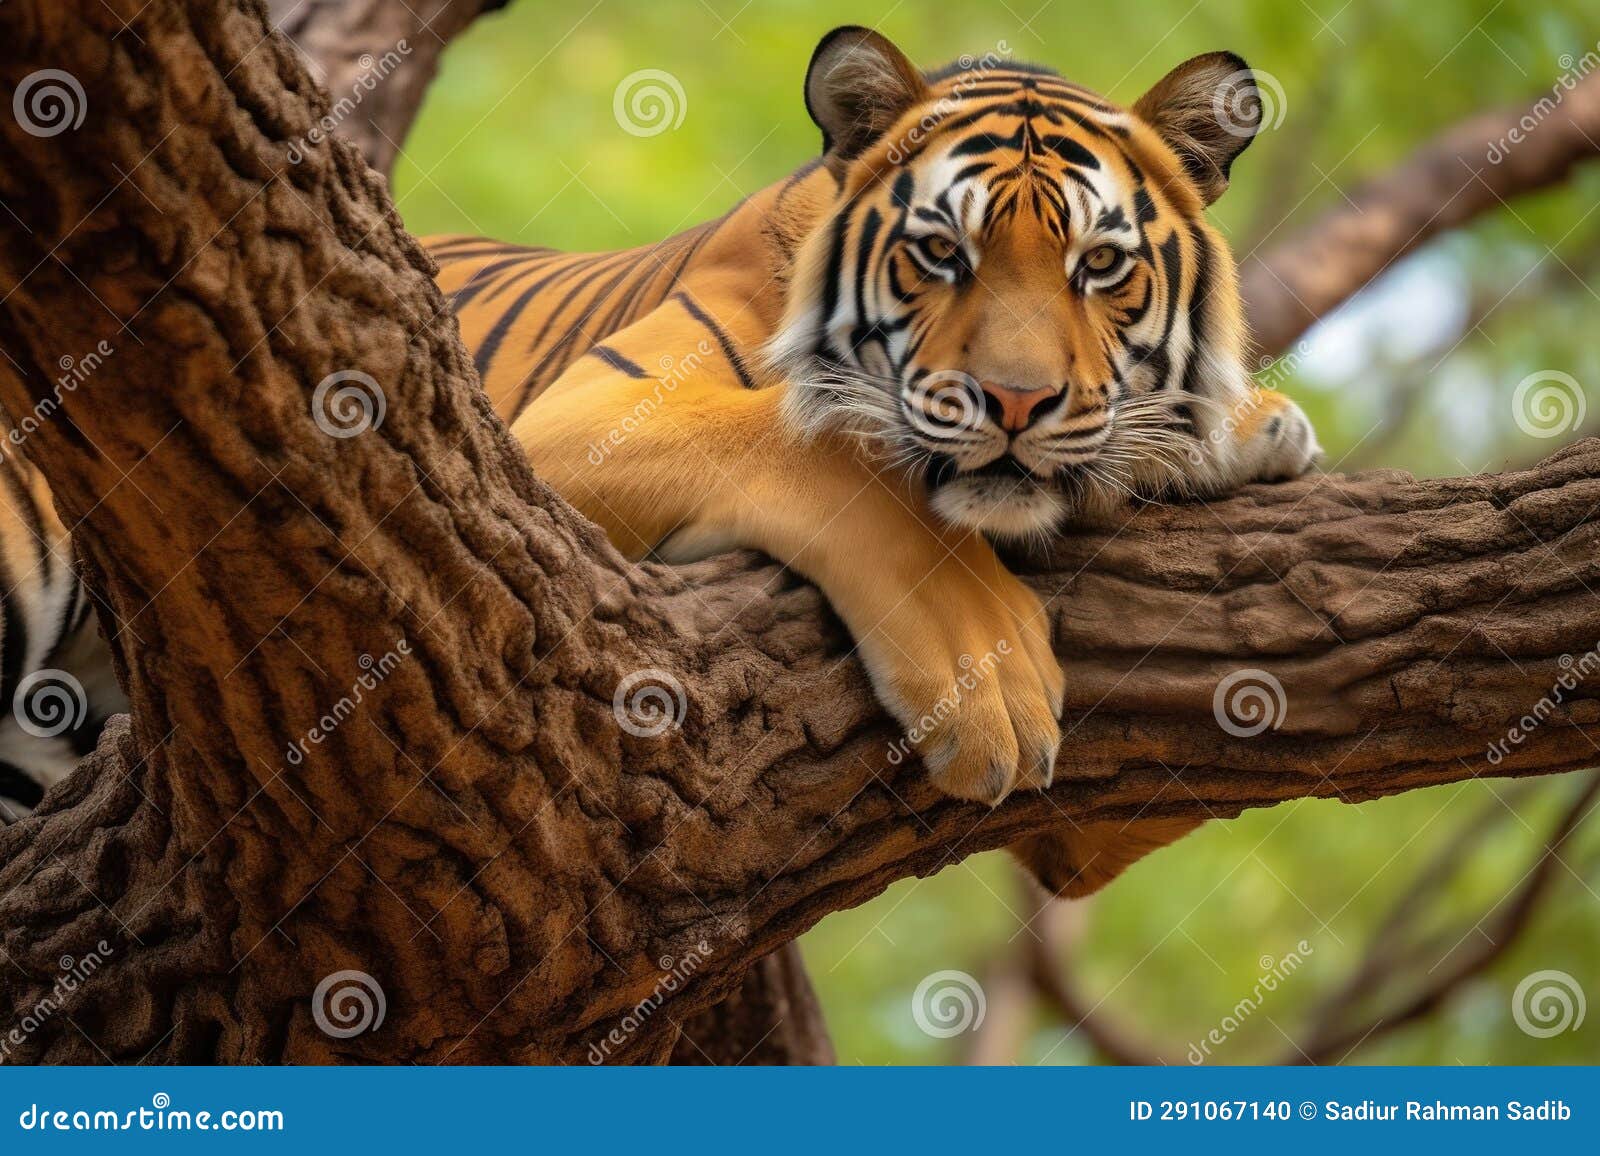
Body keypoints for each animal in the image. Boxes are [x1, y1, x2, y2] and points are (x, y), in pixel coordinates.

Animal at [426, 27, 1320, 896]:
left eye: (1099, 264)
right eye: (941, 252)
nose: (1015, 401)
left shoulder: (1078, 843)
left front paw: (1239, 427)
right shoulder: (583, 422)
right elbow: (834, 446)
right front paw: (988, 677)